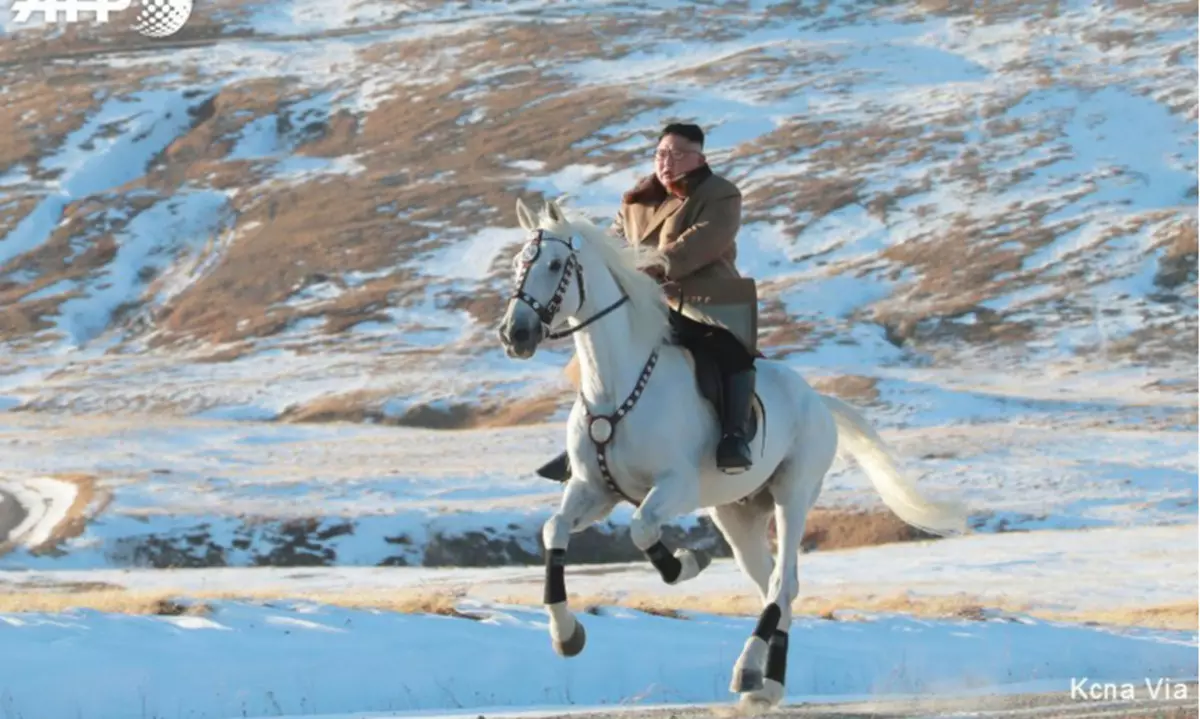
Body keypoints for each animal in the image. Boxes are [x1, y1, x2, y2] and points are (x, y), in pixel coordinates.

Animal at [492, 195, 969, 710]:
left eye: (555, 264)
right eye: (518, 264)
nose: (515, 334)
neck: (616, 386)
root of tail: (819, 401)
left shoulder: (675, 487)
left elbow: (642, 528)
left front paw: (686, 563)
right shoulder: (593, 489)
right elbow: (554, 530)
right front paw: (566, 634)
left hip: (792, 495)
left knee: (781, 583)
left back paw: (747, 671)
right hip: (737, 515)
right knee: (775, 586)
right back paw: (768, 683)